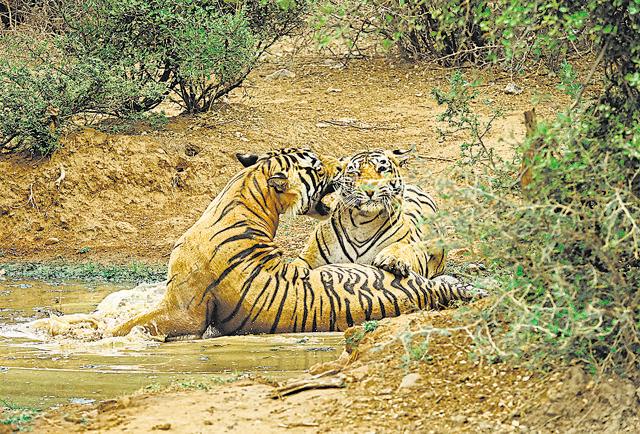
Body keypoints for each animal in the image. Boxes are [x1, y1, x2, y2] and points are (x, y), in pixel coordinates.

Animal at [294, 148, 447, 279]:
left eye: (382, 168)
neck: (363, 223)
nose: (369, 189)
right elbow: (294, 267)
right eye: (355, 172)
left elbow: (402, 247)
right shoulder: (307, 257)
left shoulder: (415, 250)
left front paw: (393, 260)